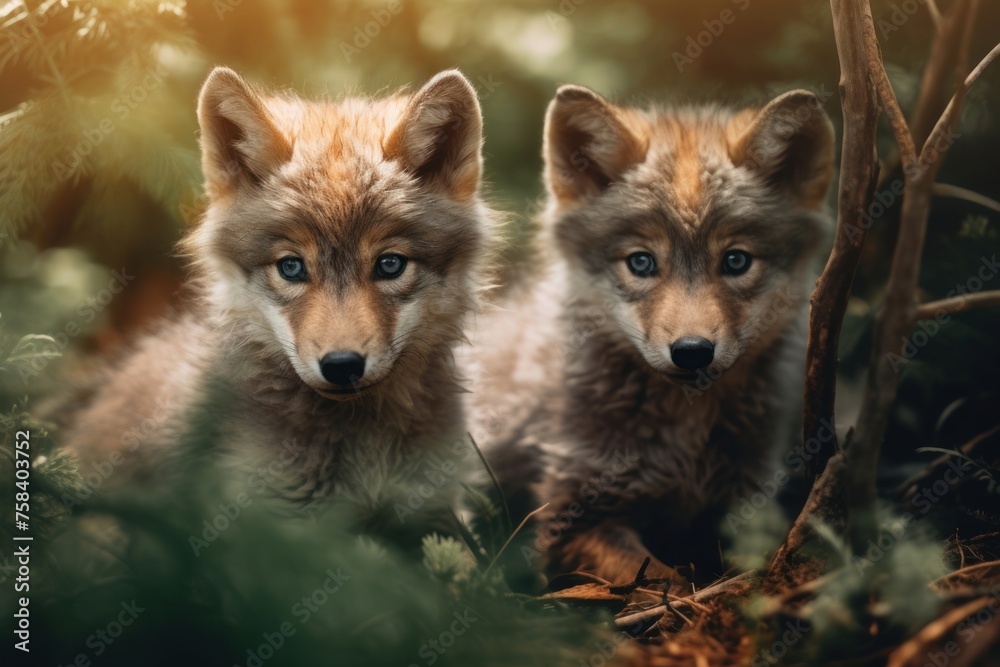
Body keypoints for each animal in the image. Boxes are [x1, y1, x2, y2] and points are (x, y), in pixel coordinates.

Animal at [464, 85, 835, 586]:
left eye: (736, 261)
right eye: (641, 262)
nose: (692, 352)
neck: (687, 443)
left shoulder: (743, 504)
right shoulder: (572, 516)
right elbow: (665, 583)